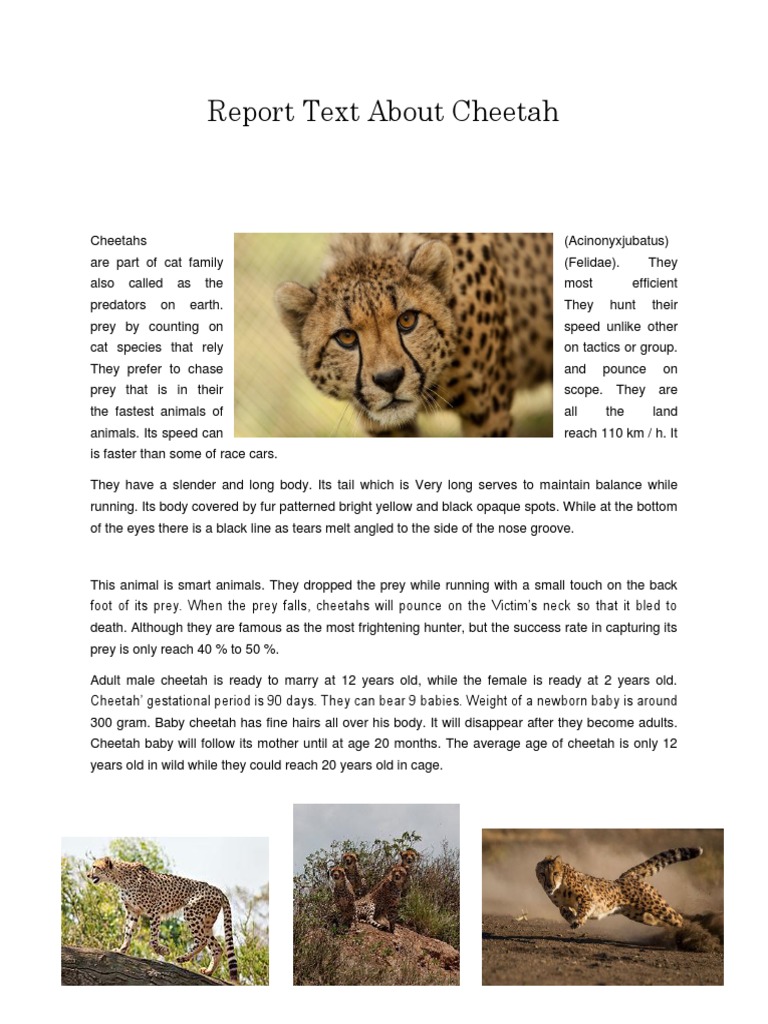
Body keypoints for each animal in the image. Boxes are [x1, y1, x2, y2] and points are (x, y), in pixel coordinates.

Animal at [87, 856, 238, 982]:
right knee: (217, 947)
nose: (88, 875)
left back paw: (183, 958)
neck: (120, 878)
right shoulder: (133, 911)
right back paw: (208, 971)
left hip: (191, 912)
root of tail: (217, 889)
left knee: (202, 940)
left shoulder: (154, 911)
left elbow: (153, 939)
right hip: (205, 922)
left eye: (95, 867)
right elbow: (128, 932)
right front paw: (121, 950)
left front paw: (163, 951)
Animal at [535, 847, 703, 931]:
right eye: (542, 874)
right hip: (638, 914)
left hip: (654, 904)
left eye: (555, 873)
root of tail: (626, 876)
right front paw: (571, 917)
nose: (549, 885)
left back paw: (692, 933)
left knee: (679, 918)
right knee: (663, 920)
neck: (559, 888)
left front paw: (578, 920)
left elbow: (583, 909)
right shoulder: (562, 904)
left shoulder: (588, 898)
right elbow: (563, 910)